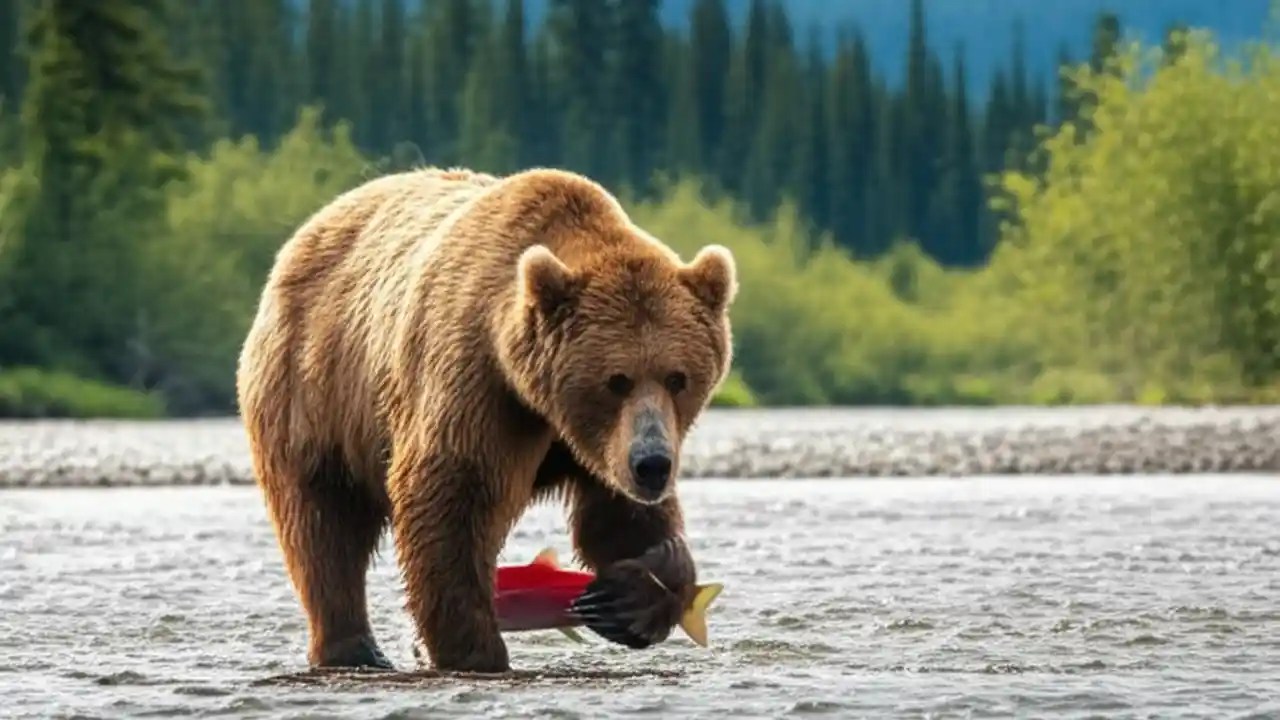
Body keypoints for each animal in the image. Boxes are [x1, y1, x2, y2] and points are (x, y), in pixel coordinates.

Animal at [235, 165, 738, 673]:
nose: (652, 464)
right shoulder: (476, 387)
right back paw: (355, 648)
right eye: (616, 380)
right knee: (322, 528)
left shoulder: (602, 445)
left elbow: (617, 518)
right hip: (314, 392)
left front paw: (634, 594)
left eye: (677, 377)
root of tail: (308, 230)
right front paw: (474, 650)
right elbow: (451, 498)